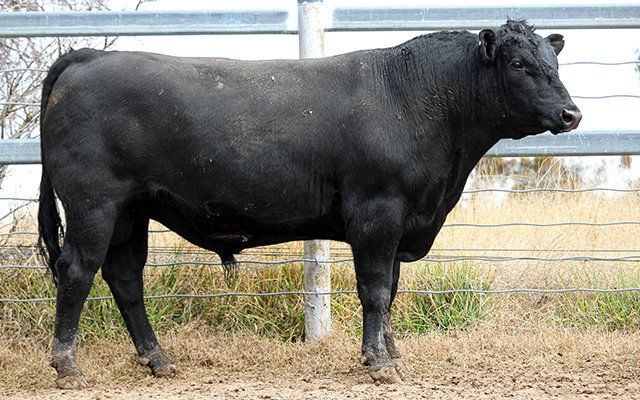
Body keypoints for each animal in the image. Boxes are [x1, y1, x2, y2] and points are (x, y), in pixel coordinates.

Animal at [37, 20, 581, 388]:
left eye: (554, 64)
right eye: (518, 64)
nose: (571, 113)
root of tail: (86, 56)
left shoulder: (402, 220)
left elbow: (392, 291)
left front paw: (392, 353)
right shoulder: (378, 213)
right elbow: (375, 291)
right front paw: (378, 363)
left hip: (131, 212)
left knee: (126, 279)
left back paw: (159, 359)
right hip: (94, 204)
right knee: (78, 272)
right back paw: (67, 366)